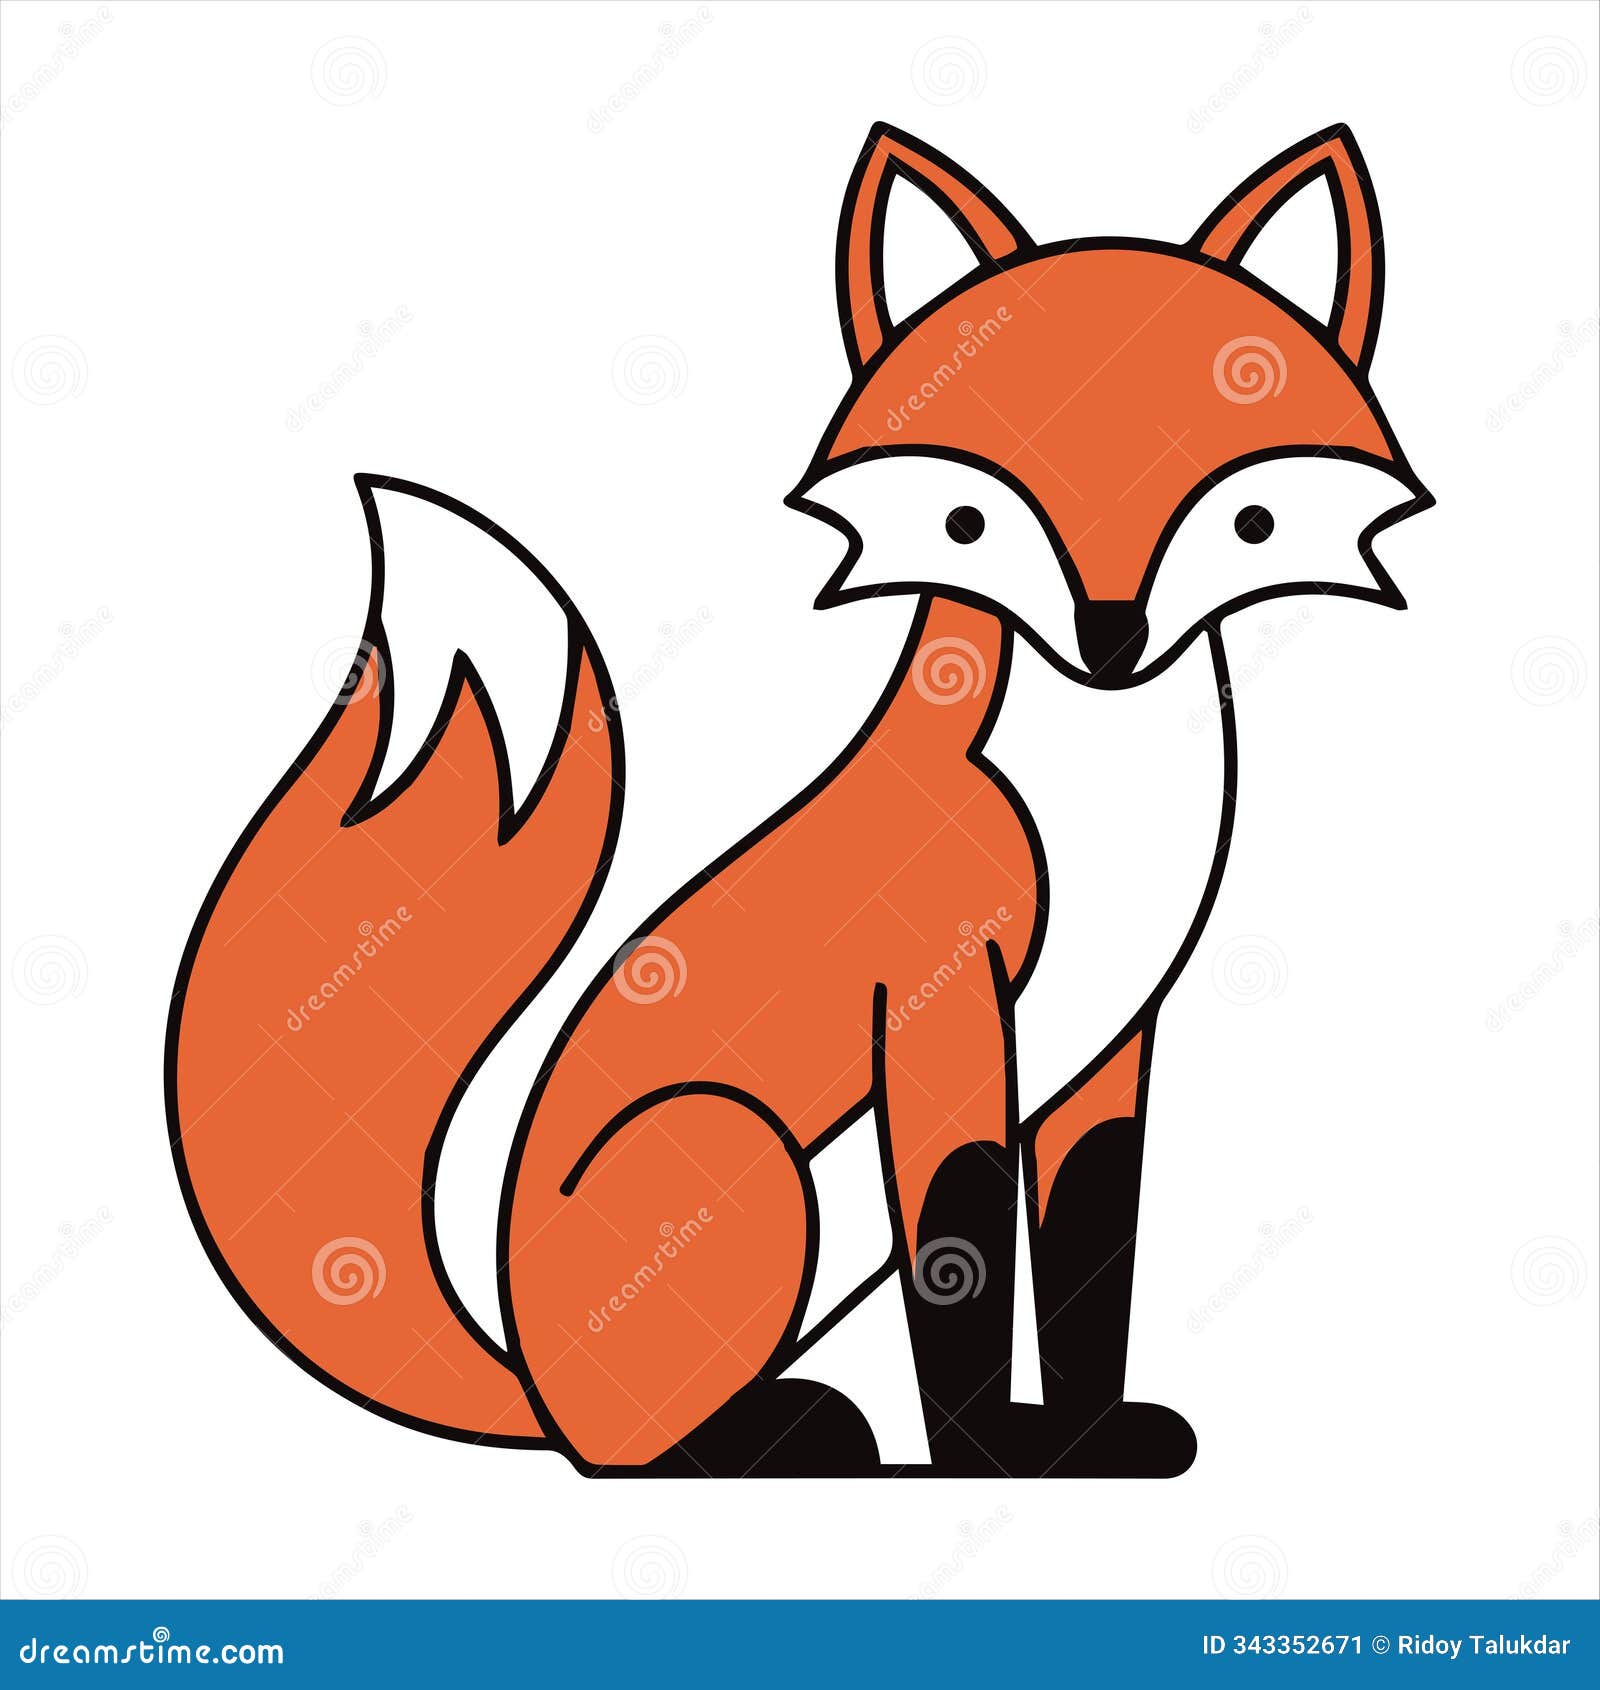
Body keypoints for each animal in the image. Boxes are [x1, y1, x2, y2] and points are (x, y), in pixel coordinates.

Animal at [167, 123, 1430, 1478]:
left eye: (1241, 514)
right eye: (973, 517)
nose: (1111, 635)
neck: (1098, 786)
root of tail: (529, 1380)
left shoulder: (1117, 1041)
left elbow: (1090, 1239)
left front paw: (1089, 1434)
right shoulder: (939, 1003)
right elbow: (960, 1245)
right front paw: (985, 1449)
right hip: (733, 1147)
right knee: (635, 1447)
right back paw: (788, 1433)